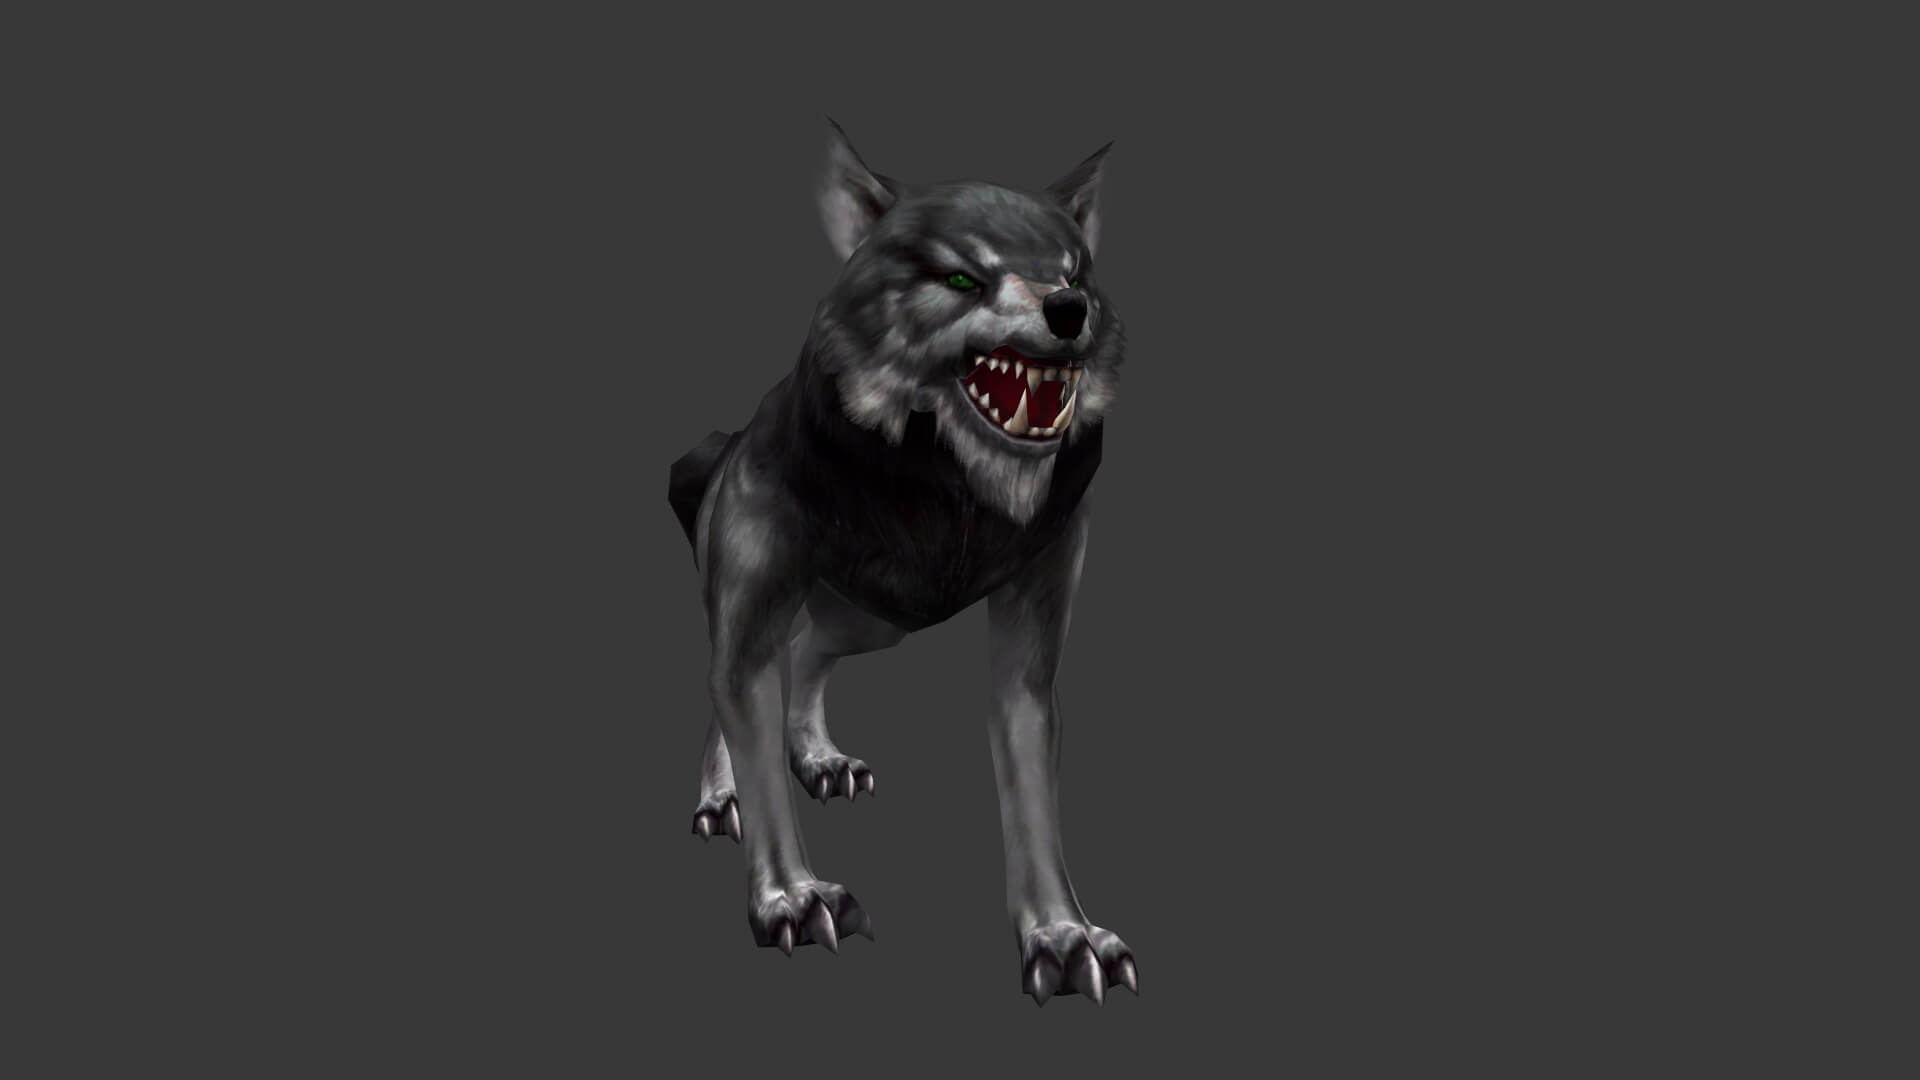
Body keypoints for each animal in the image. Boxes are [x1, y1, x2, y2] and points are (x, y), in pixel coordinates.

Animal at [669, 121, 1135, 1005]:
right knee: (736, 684)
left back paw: (818, 756)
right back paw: (723, 793)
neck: (942, 491)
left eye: (1073, 273)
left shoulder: (1030, 649)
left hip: (873, 621)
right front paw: (791, 895)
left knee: (807, 652)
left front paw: (1061, 934)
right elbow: (752, 739)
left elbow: (1031, 793)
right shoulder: (750, 615)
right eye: (962, 277)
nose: (1071, 310)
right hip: (800, 614)